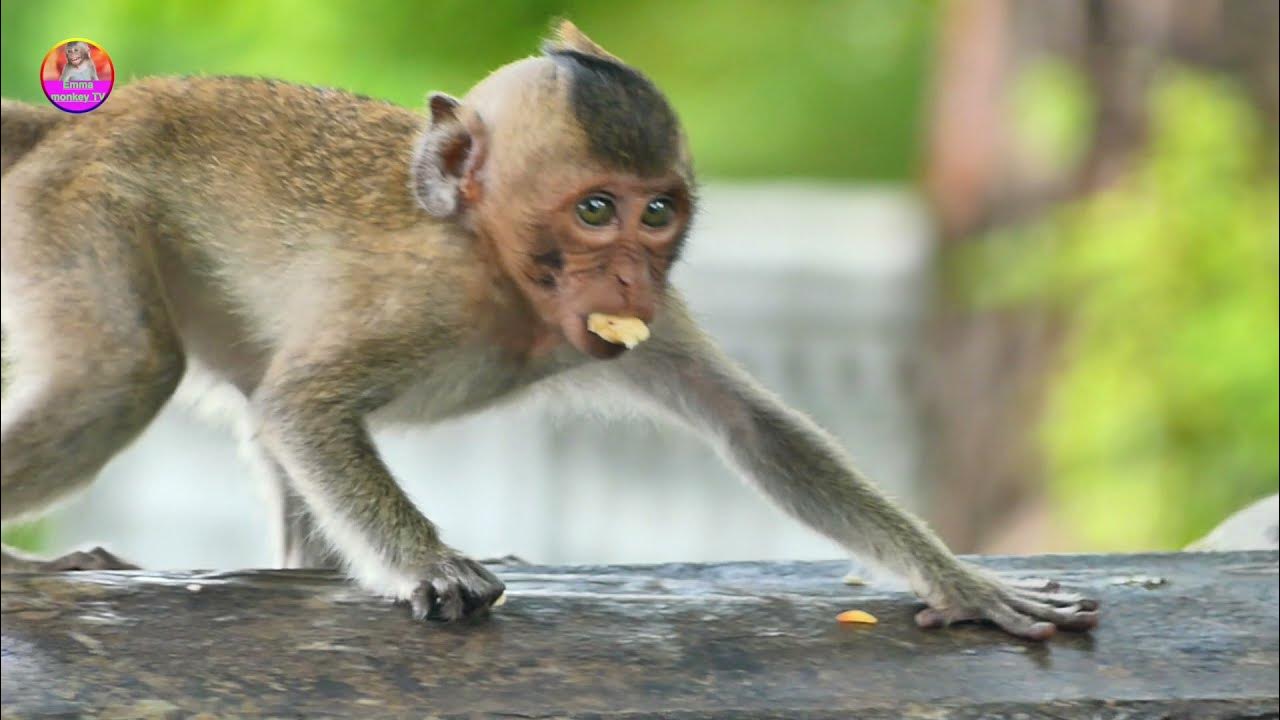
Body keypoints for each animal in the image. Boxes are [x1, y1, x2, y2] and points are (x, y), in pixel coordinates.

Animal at [0, 22, 1098, 639]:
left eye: (658, 213)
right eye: (595, 210)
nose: (629, 275)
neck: (497, 269)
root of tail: (76, 125)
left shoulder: (649, 321)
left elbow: (755, 429)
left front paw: (958, 580)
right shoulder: (427, 295)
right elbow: (301, 405)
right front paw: (432, 564)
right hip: (78, 211)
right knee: (129, 371)